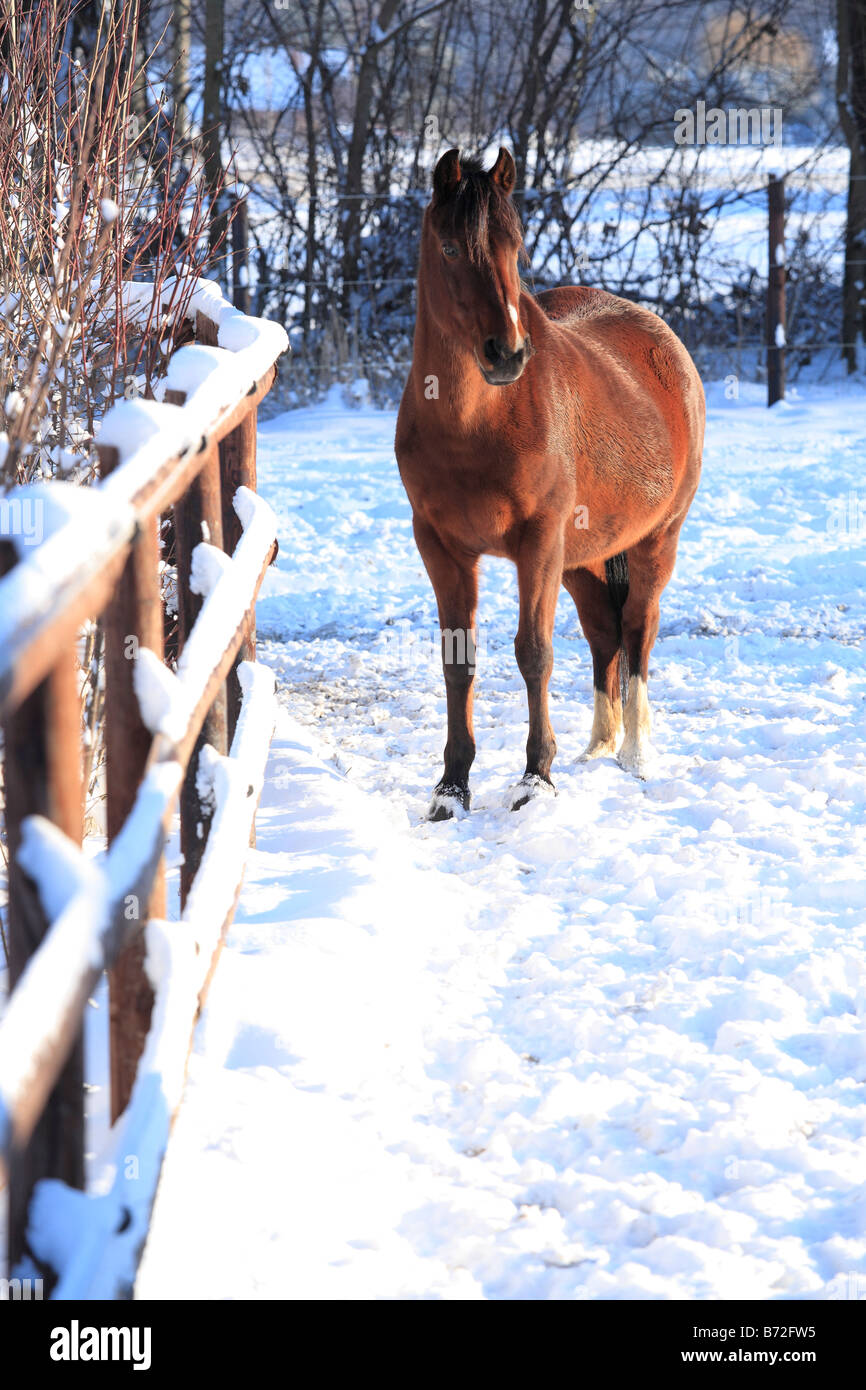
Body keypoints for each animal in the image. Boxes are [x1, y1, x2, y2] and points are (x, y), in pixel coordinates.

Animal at [395, 147, 705, 821]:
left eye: (514, 247)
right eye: (451, 247)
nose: (507, 353)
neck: (476, 422)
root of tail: (661, 336)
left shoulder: (536, 543)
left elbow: (533, 653)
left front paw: (535, 779)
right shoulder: (440, 548)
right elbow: (458, 661)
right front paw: (451, 789)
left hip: (654, 542)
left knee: (638, 630)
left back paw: (634, 755)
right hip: (581, 559)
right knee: (604, 635)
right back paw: (597, 746)